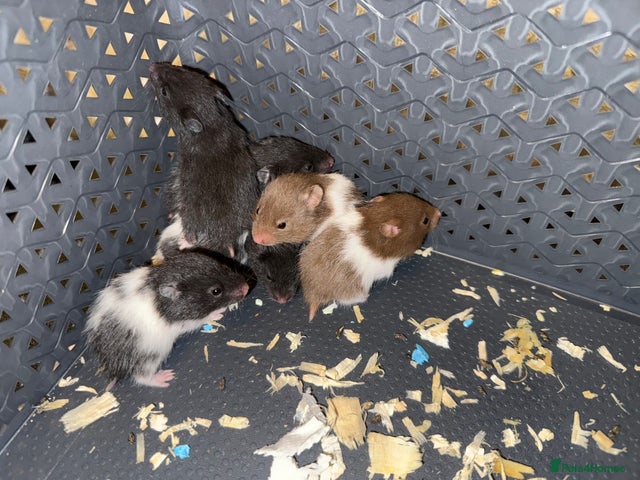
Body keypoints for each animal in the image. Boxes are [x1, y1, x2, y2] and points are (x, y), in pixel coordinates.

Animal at [84, 251, 250, 389]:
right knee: (140, 377)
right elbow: (202, 319)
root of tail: (110, 364)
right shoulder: (184, 322)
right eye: (216, 291)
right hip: (150, 356)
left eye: (224, 265)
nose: (247, 288)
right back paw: (164, 378)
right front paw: (218, 312)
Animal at [299, 193, 441, 320]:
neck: (378, 219)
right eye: (425, 220)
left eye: (414, 197)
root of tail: (313, 296)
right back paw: (366, 297)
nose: (440, 213)